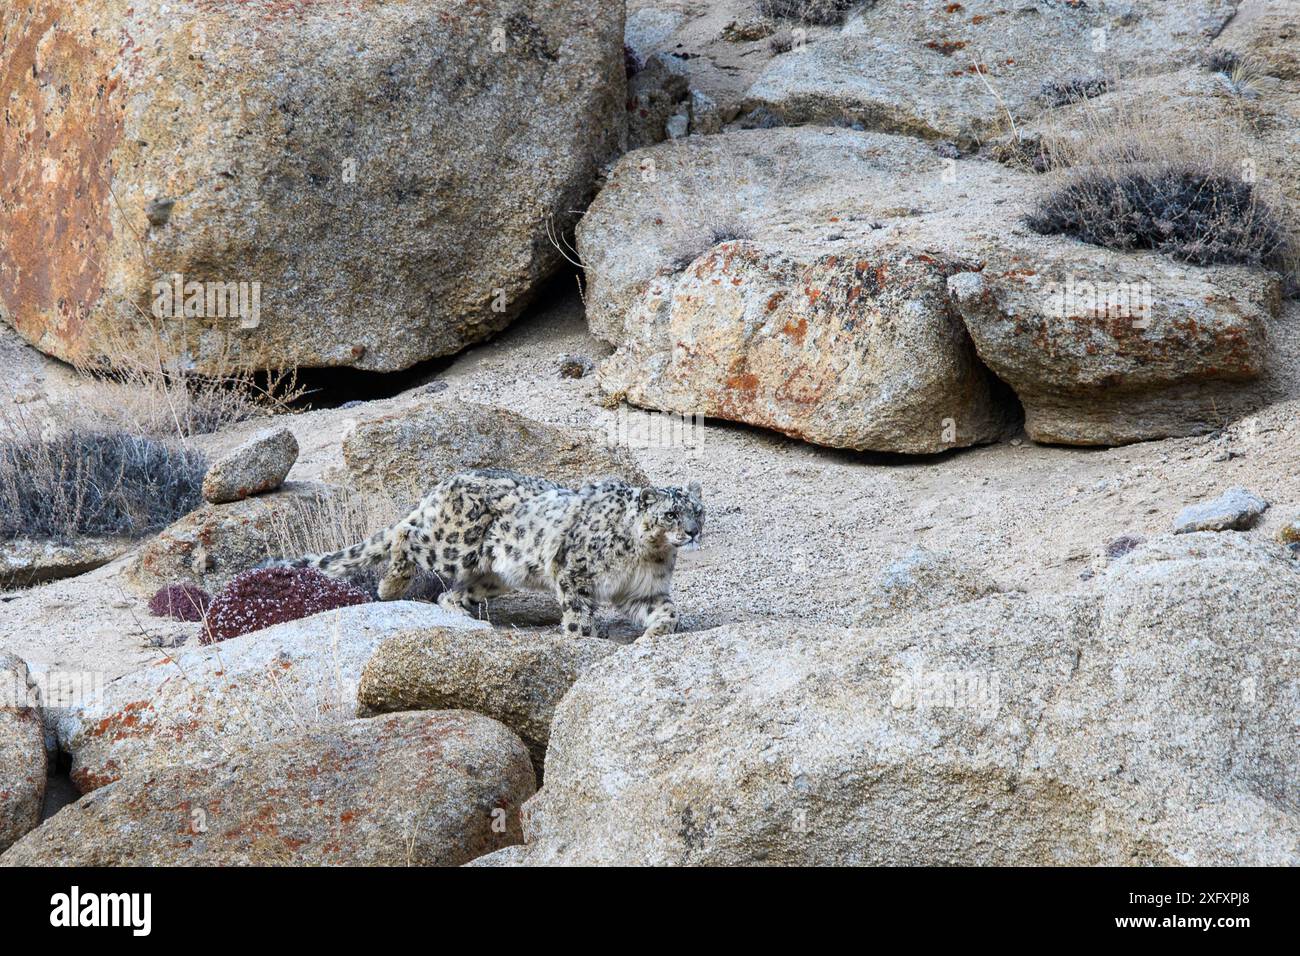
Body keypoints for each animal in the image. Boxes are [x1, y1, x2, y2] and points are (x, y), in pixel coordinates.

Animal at [290, 468, 704, 640]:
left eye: (698, 510)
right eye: (671, 514)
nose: (693, 531)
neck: (649, 554)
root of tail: (446, 482)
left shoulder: (642, 590)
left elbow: (668, 611)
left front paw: (654, 634)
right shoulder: (574, 574)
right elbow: (578, 615)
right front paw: (582, 638)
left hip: (496, 573)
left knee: (450, 594)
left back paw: (469, 621)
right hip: (453, 545)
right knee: (407, 535)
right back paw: (390, 587)